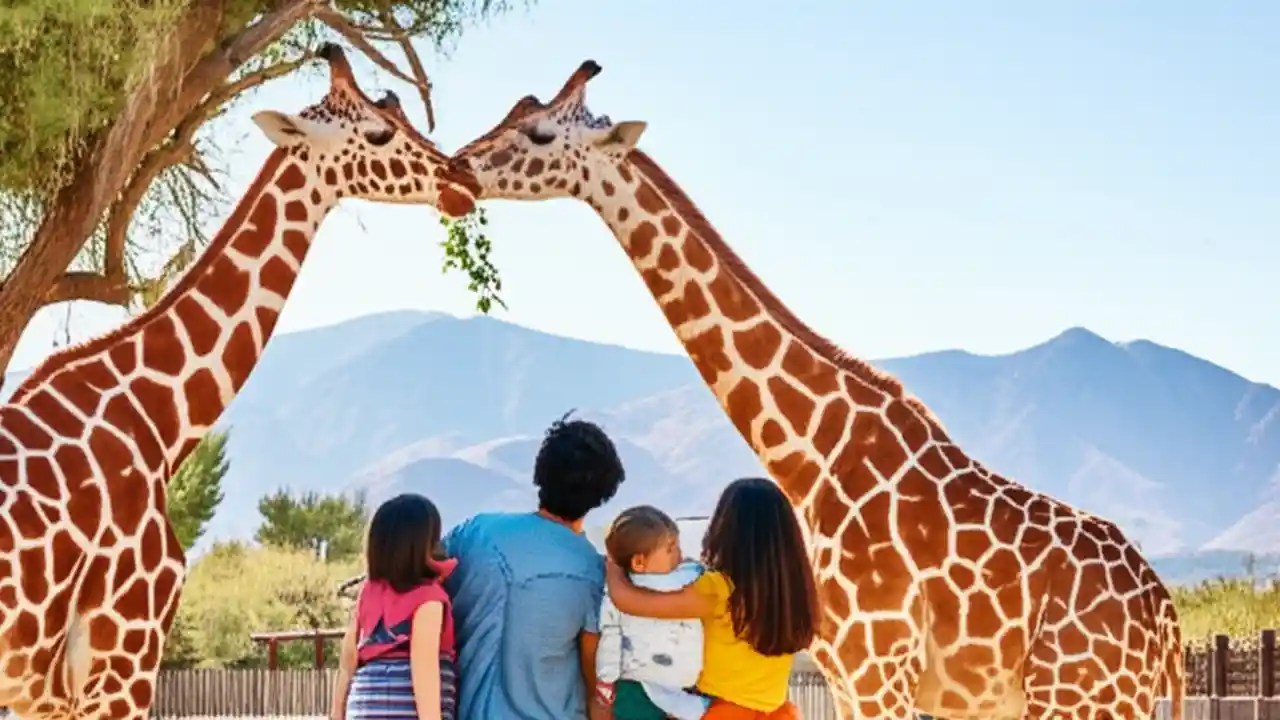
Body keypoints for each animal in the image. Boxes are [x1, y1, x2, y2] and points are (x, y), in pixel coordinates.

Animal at [0, 44, 476, 720]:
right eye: (379, 131)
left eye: (399, 110)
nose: (463, 181)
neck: (159, 421)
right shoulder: (122, 657)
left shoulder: (49, 686)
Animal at [447, 62, 1186, 720]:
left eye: (541, 134)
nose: (458, 166)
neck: (813, 458)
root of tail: (1168, 623)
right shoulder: (845, 676)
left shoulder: (878, 671)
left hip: (1076, 696)